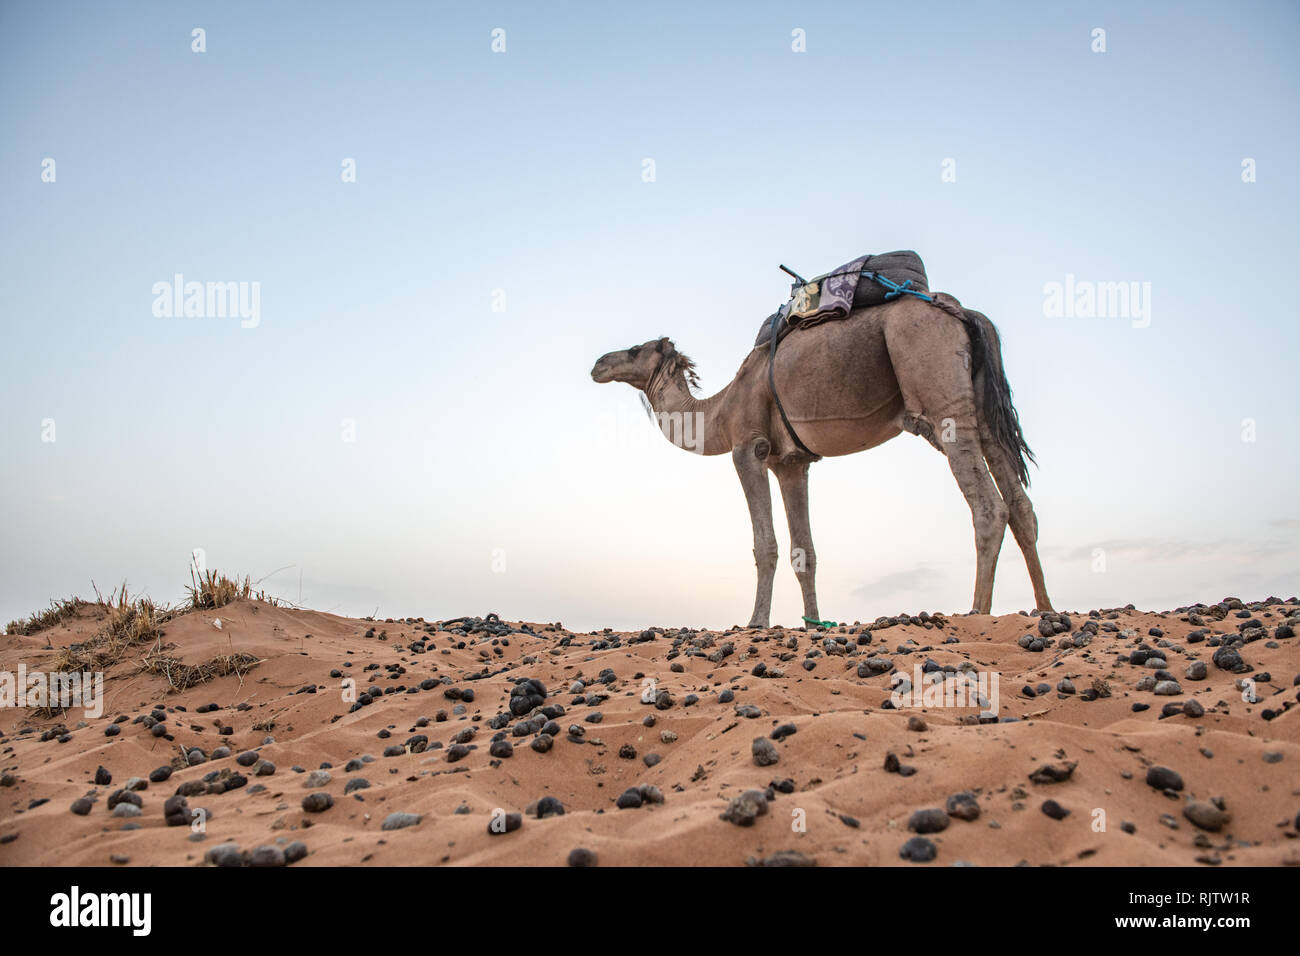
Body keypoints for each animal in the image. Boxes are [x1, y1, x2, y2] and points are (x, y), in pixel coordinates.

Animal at [590, 291, 1053, 627]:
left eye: (635, 349)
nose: (597, 364)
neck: (719, 411)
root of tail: (965, 315)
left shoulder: (748, 448)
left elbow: (766, 544)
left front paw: (756, 622)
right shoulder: (791, 463)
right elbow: (805, 552)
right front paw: (812, 623)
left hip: (938, 391)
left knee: (989, 506)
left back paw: (977, 612)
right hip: (981, 411)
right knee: (1020, 504)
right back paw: (1045, 609)